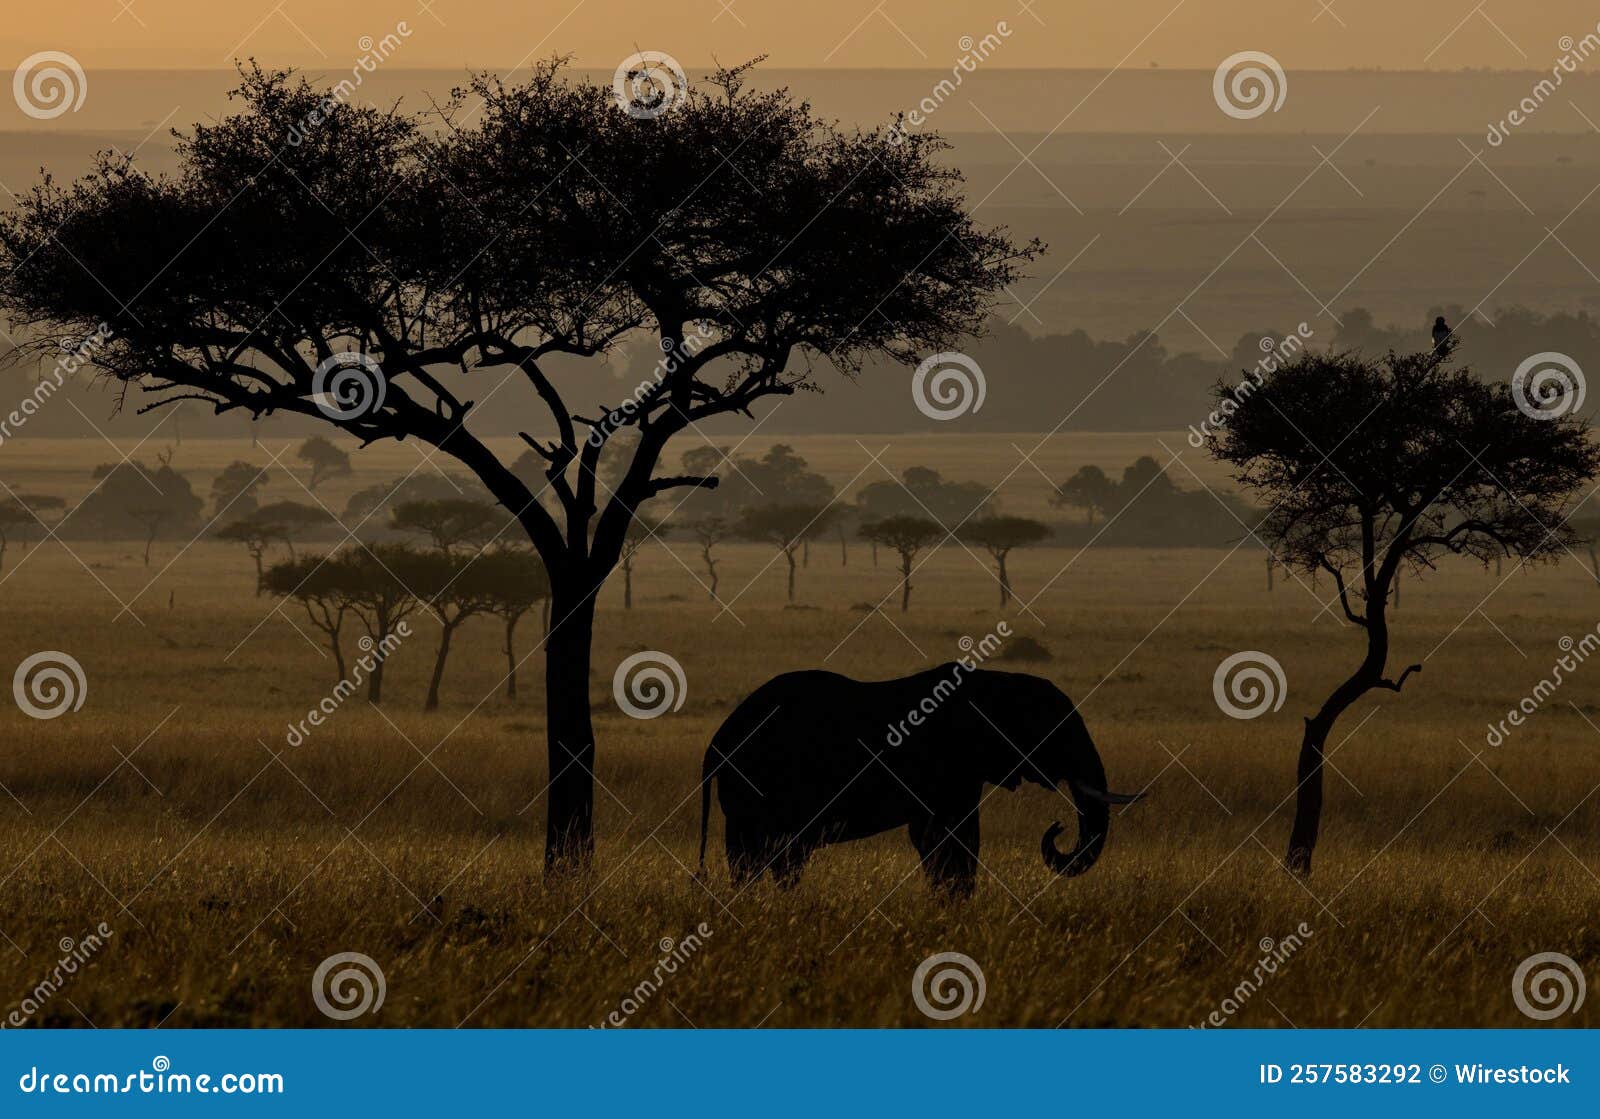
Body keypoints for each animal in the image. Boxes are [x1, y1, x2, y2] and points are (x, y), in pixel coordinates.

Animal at [698, 664, 1142, 895]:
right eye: (1055, 729)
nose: (1058, 827)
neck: (997, 680)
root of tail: (717, 742)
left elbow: (935, 839)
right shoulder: (951, 765)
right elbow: (955, 837)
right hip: (757, 785)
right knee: (767, 856)